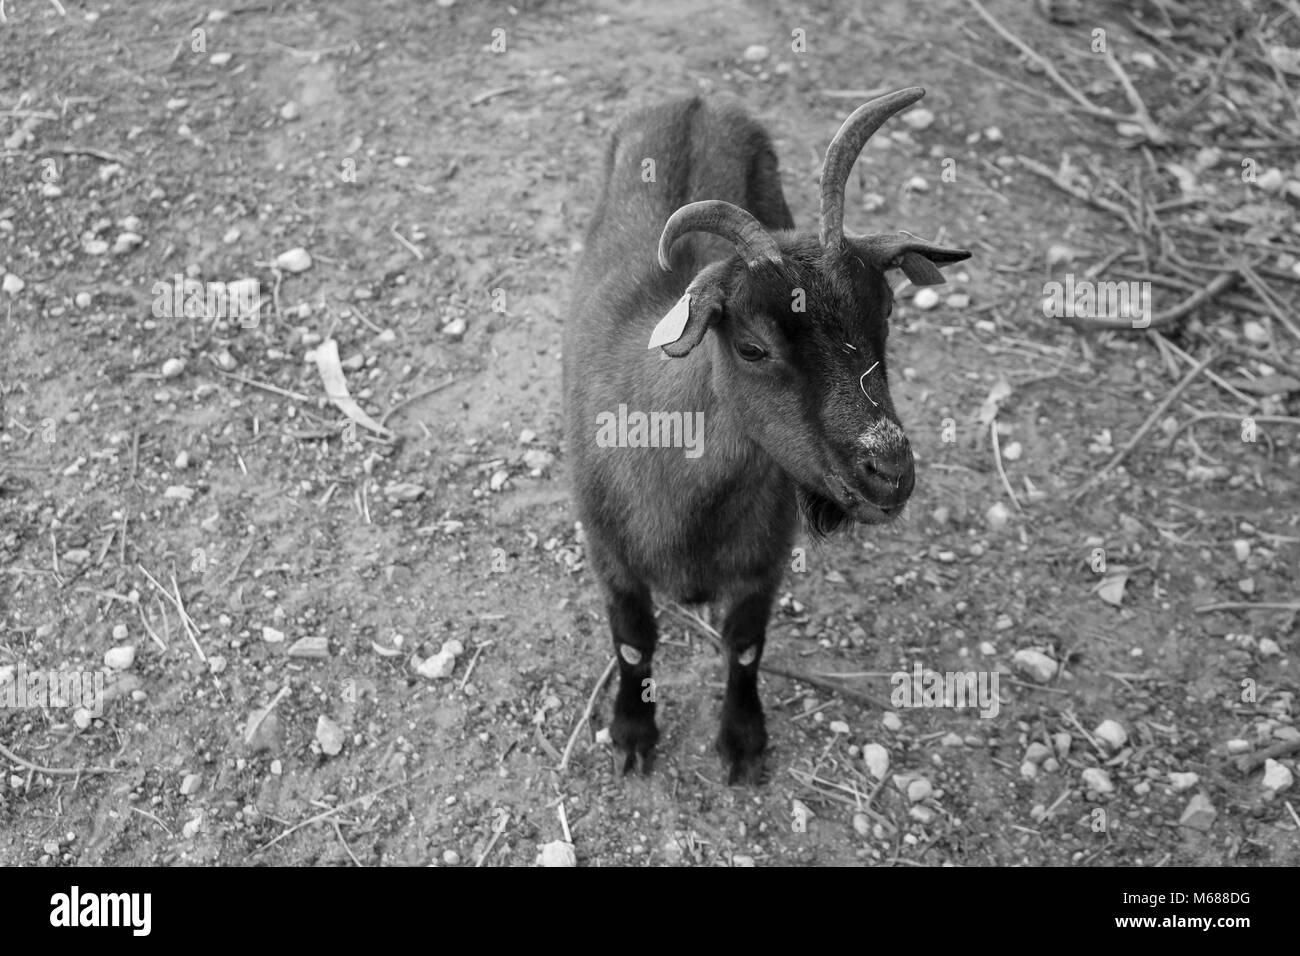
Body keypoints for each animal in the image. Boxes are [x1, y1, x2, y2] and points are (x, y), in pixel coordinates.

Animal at [563, 89, 970, 783]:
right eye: (752, 346)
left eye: (887, 312)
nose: (889, 471)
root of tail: (693, 97)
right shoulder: (609, 553)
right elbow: (634, 643)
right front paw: (632, 734)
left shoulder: (765, 560)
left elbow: (747, 645)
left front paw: (744, 740)